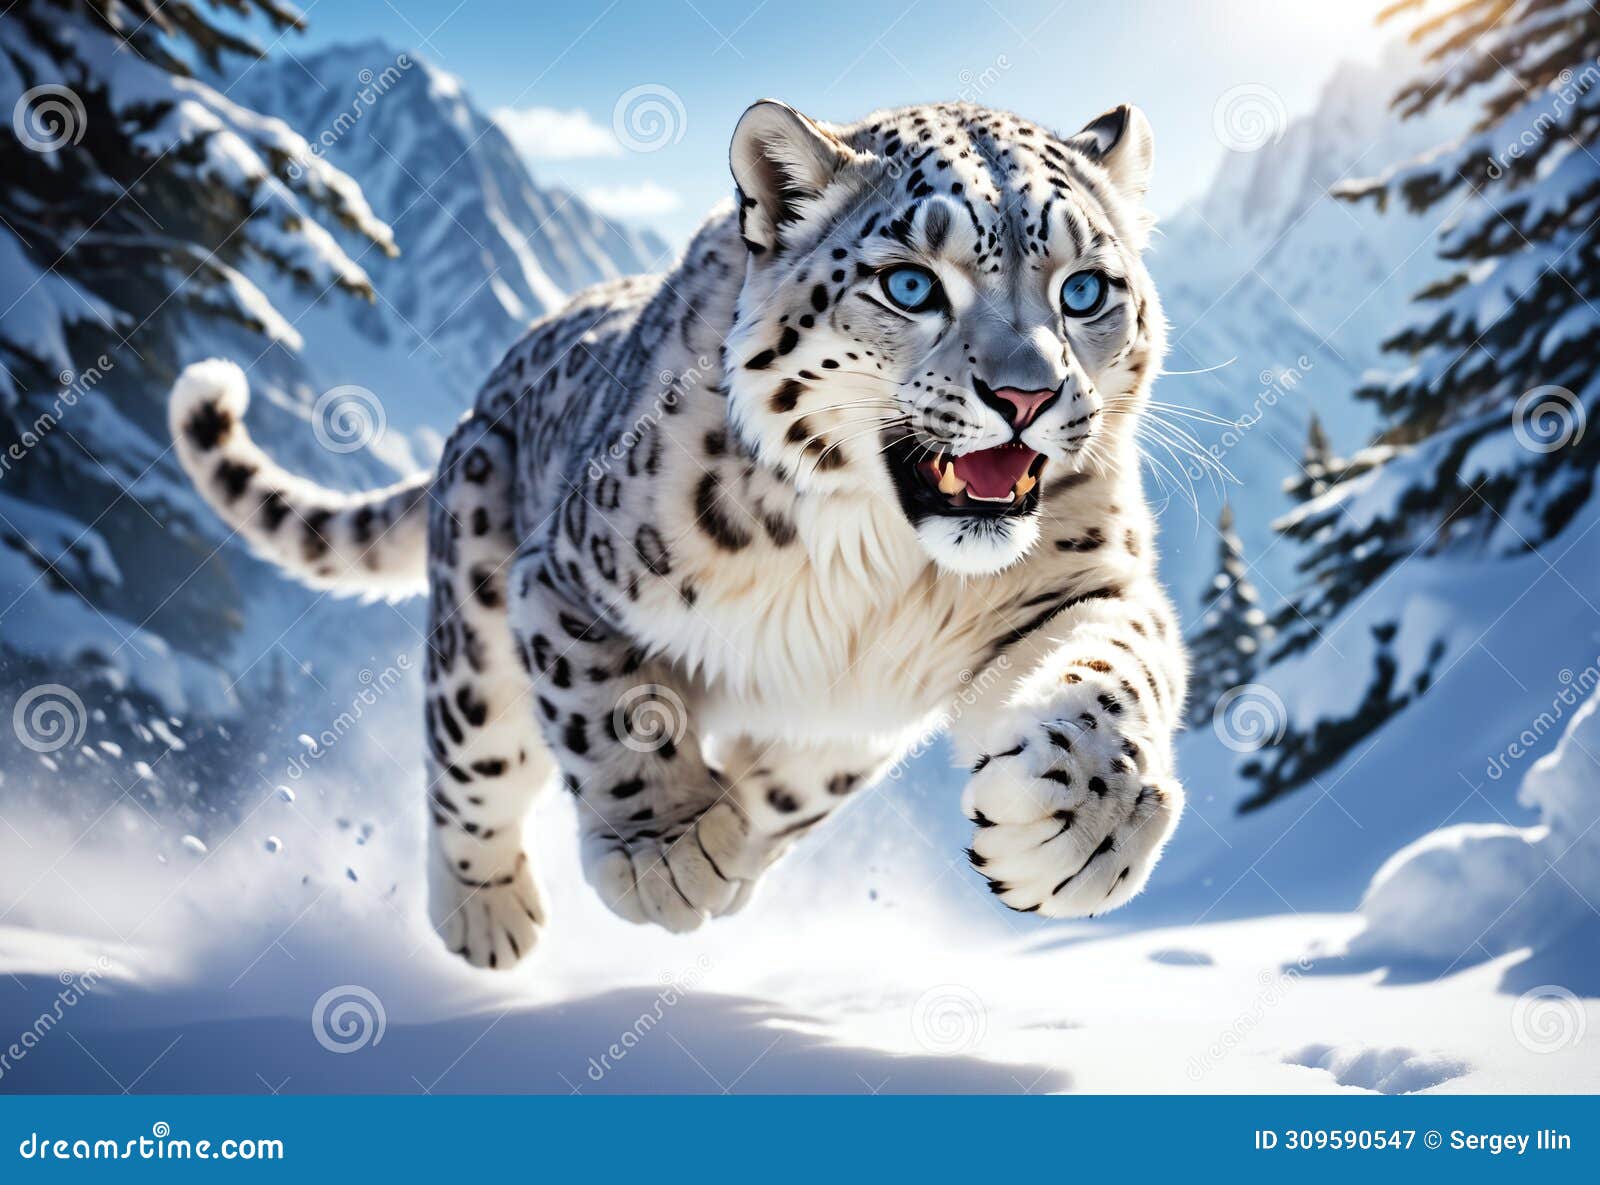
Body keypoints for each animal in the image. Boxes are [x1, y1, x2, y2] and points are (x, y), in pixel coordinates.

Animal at [169, 98, 1189, 970]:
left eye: (1085, 290)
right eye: (910, 283)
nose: (1026, 395)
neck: (882, 565)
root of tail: (490, 384)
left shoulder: (1082, 581)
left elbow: (1117, 670)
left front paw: (1079, 828)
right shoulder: (565, 578)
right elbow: (613, 705)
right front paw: (662, 851)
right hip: (479, 621)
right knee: (471, 754)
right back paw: (487, 913)